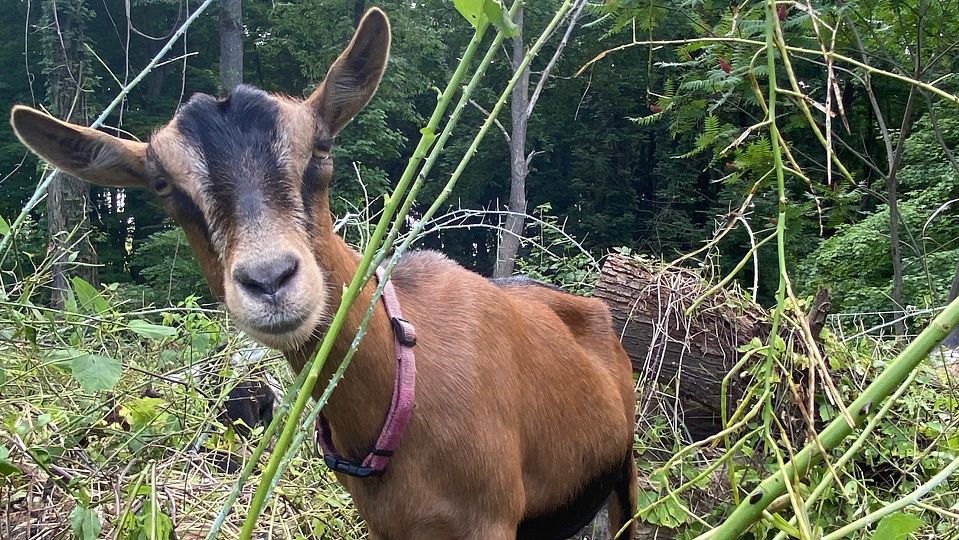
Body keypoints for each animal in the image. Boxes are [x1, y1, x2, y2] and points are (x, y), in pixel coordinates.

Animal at [10, 8, 637, 539]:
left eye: (322, 147)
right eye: (164, 186)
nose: (270, 280)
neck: (408, 386)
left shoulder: (489, 521)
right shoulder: (388, 526)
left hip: (623, 468)